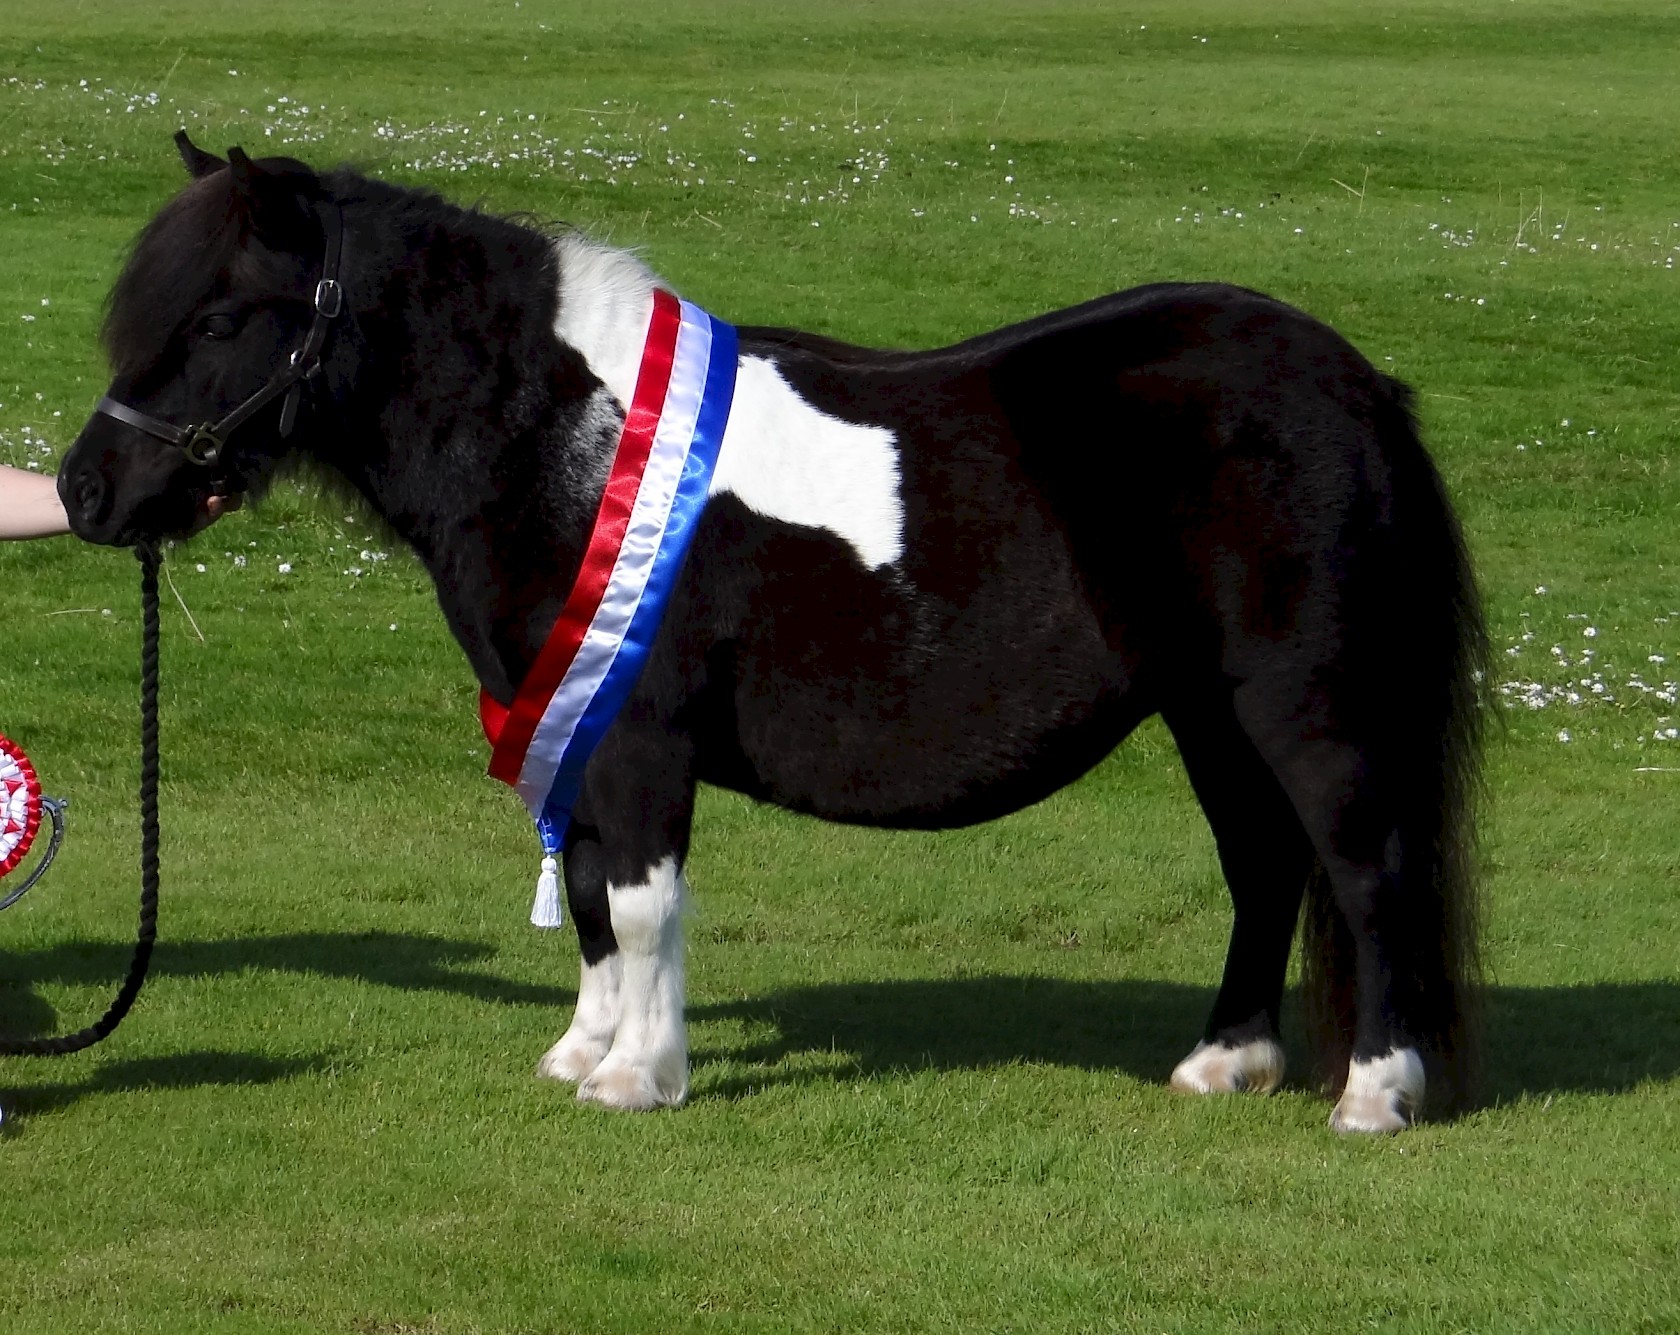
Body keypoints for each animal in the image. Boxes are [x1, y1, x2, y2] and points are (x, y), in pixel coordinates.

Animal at [58, 134, 1486, 1133]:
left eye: (221, 318)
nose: (85, 493)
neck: (567, 444)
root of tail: (1354, 383)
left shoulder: (634, 736)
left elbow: (639, 905)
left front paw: (639, 1079)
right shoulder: (570, 731)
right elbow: (588, 898)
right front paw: (583, 1052)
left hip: (1304, 708)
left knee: (1363, 873)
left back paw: (1374, 1093)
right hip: (1209, 712)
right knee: (1264, 868)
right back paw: (1223, 1062)